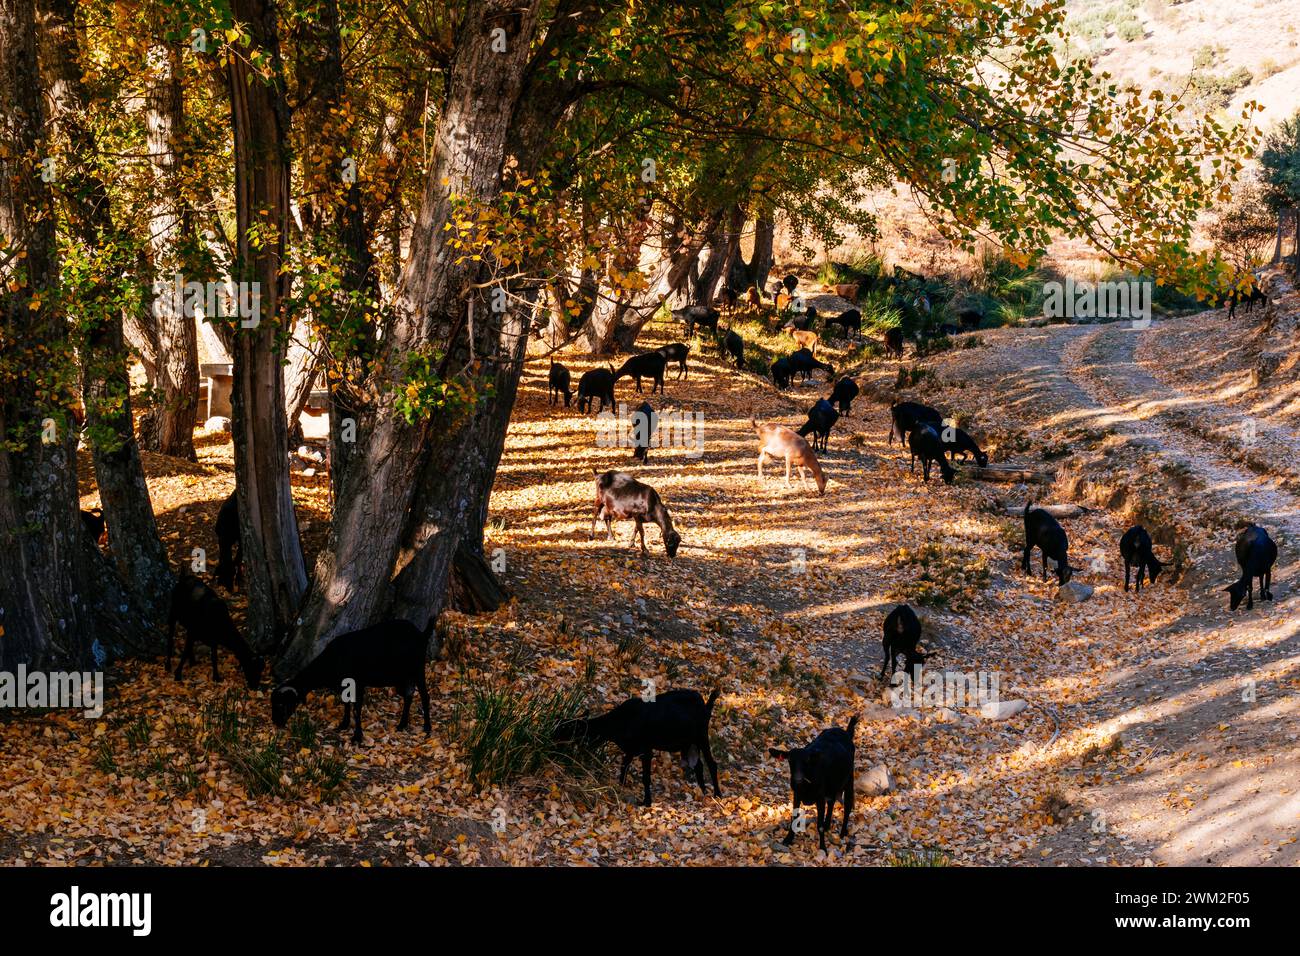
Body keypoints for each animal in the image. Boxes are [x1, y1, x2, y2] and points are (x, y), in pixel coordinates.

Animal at [270, 618, 434, 743]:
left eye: (281, 704)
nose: (276, 722)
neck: (330, 662)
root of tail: (421, 633)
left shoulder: (358, 684)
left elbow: (356, 709)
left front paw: (357, 737)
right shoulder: (344, 685)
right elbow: (346, 704)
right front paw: (344, 724)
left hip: (417, 669)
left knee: (424, 696)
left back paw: (427, 727)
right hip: (402, 676)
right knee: (409, 695)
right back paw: (402, 724)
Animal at [557, 688, 721, 807]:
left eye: (565, 730)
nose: (552, 736)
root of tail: (705, 704)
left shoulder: (646, 749)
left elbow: (645, 777)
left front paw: (646, 802)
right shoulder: (630, 749)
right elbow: (624, 767)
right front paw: (620, 788)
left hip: (701, 737)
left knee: (711, 764)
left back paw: (717, 794)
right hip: (687, 744)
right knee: (698, 765)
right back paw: (703, 793)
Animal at [769, 715, 859, 851]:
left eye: (806, 760)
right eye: (790, 760)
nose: (798, 778)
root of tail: (845, 732)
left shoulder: (819, 797)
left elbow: (819, 825)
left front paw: (823, 847)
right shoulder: (797, 794)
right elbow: (794, 817)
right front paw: (788, 839)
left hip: (849, 779)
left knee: (848, 805)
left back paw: (842, 833)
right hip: (832, 785)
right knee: (832, 801)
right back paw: (828, 825)